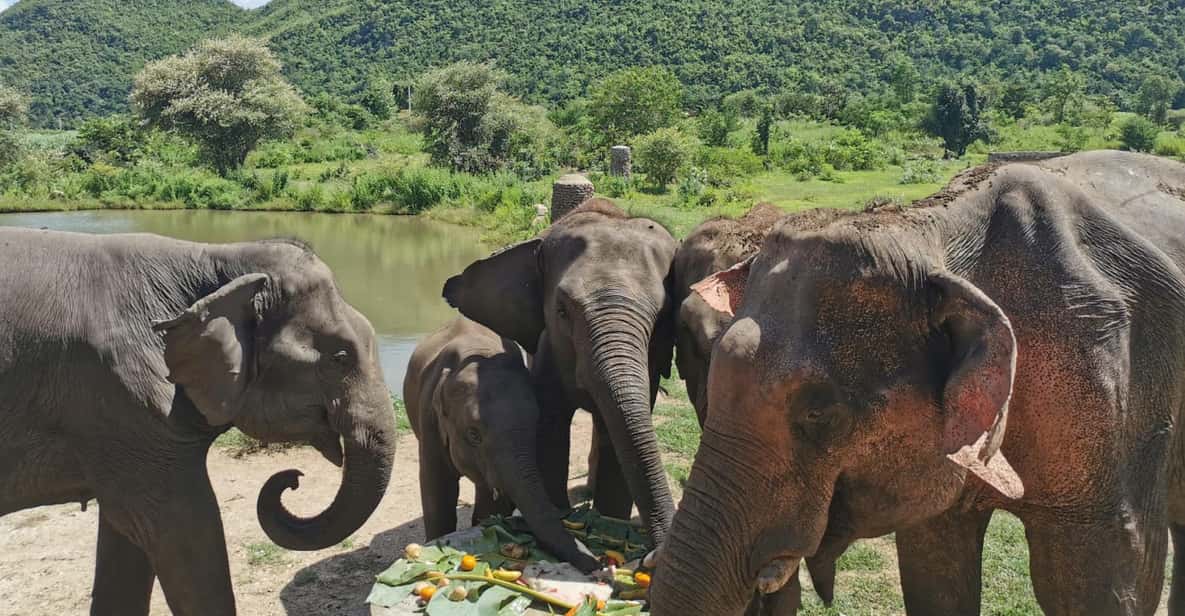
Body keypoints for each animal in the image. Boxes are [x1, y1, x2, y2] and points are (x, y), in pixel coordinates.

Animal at [0, 231, 395, 616]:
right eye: (340, 357)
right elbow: (184, 529)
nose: (293, 478)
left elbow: (127, 537)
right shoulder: (122, 400)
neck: (216, 258)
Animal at [403, 316, 599, 572]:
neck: (477, 353)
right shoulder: (428, 420)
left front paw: (487, 524)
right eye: (473, 434)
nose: (598, 563)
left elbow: (489, 500)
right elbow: (437, 488)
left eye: (537, 425)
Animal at [444, 198, 679, 545]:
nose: (656, 550)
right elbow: (552, 427)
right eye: (561, 310)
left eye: (662, 314)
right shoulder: (547, 350)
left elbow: (620, 433)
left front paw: (609, 521)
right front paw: (564, 515)